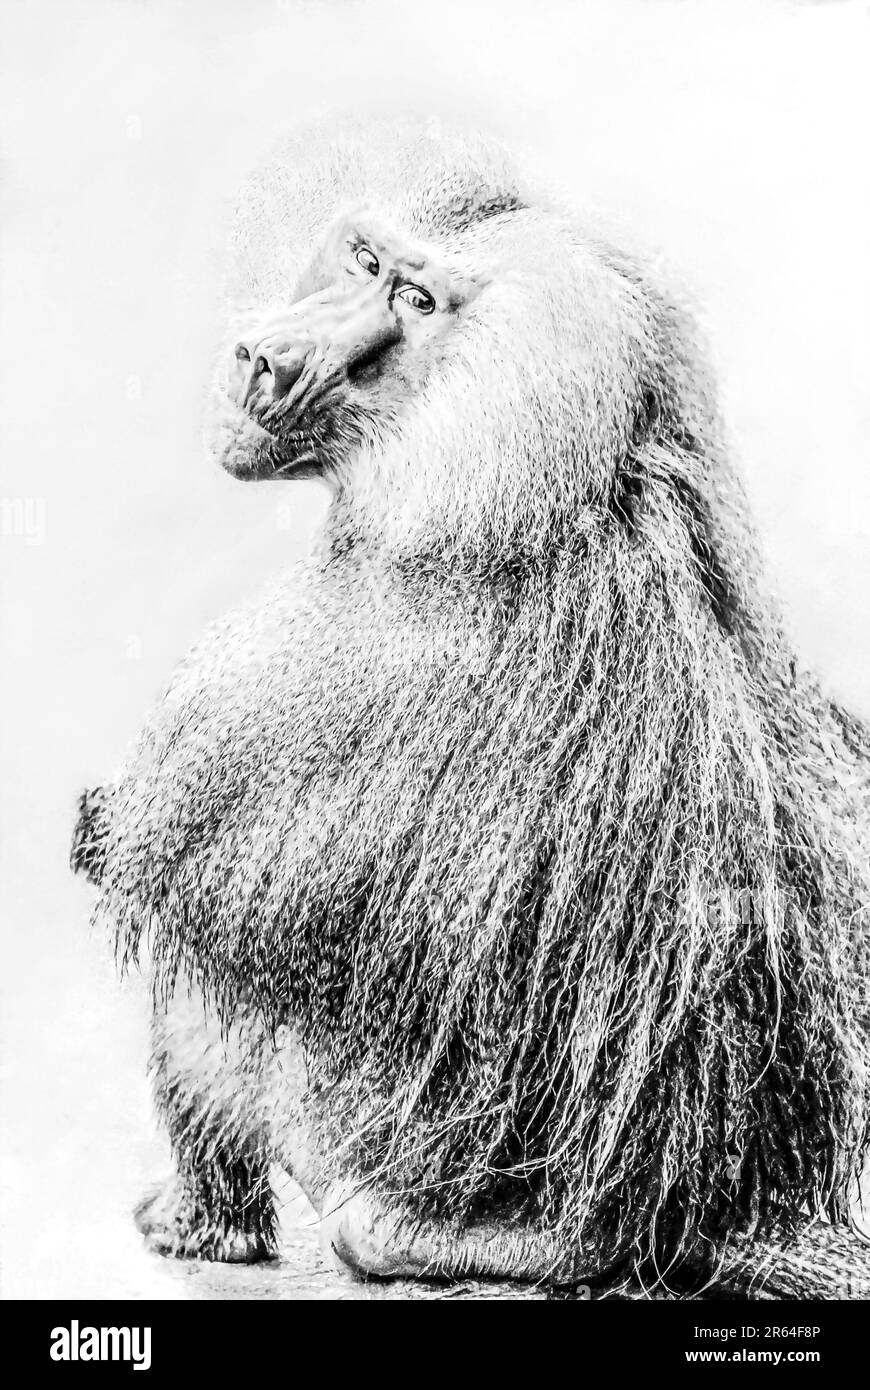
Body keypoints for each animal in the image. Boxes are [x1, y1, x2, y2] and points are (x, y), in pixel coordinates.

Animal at [73, 119, 870, 1298]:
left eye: (416, 302)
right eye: (365, 261)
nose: (267, 357)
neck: (572, 486)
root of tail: (664, 1221)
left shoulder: (307, 657)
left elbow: (170, 875)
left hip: (389, 1194)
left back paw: (204, 1224)